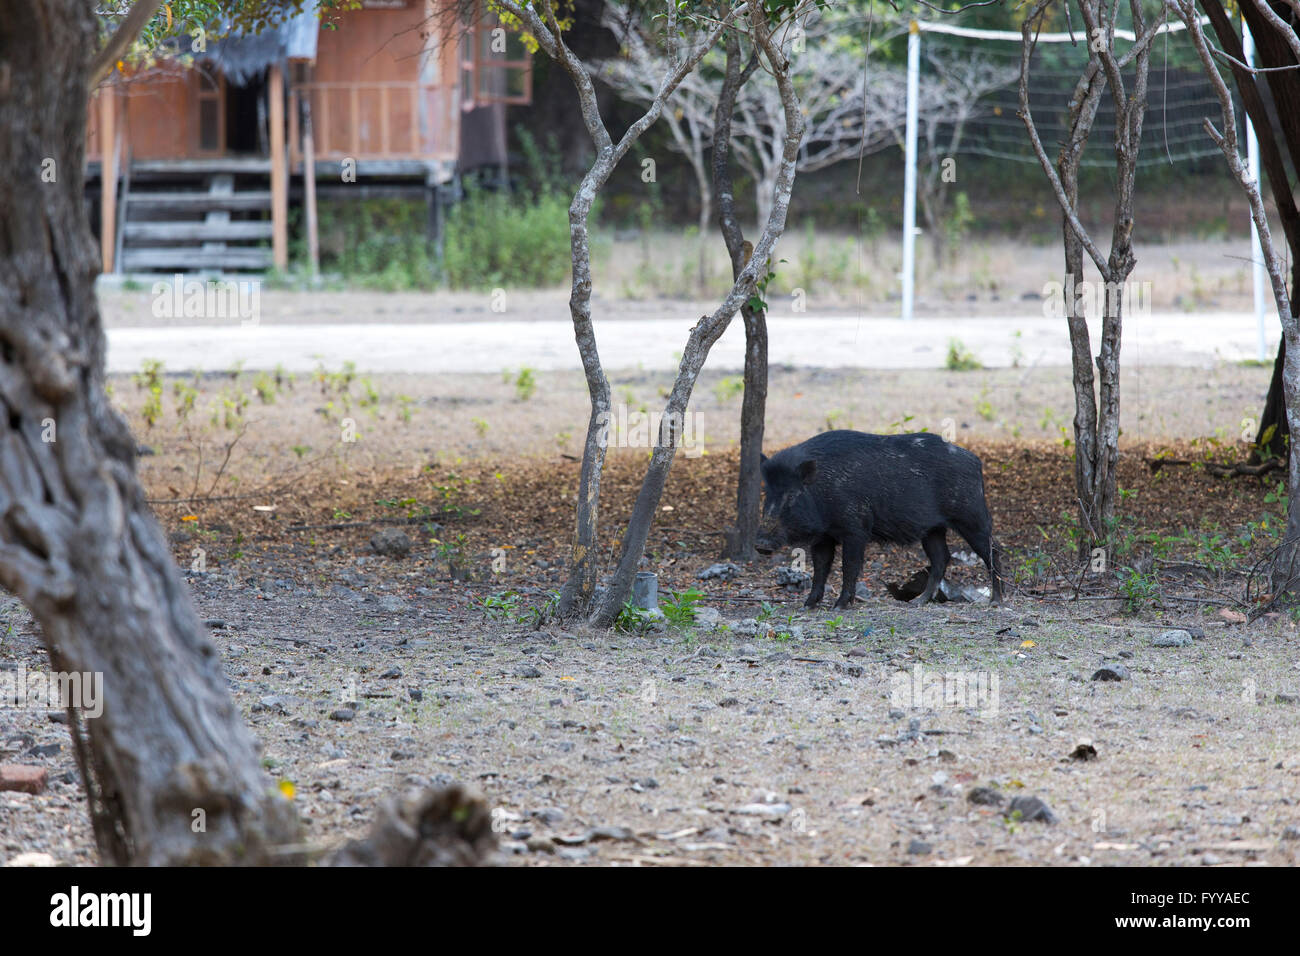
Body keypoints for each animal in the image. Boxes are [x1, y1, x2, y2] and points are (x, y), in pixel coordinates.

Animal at [760, 430, 1002, 609]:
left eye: (792, 495)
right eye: (767, 493)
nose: (761, 544)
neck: (823, 488)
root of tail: (976, 461)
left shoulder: (856, 529)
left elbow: (849, 565)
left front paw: (839, 606)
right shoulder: (824, 536)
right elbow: (820, 567)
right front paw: (807, 605)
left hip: (971, 516)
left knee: (993, 550)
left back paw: (996, 601)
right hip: (933, 529)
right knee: (942, 557)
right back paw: (918, 602)